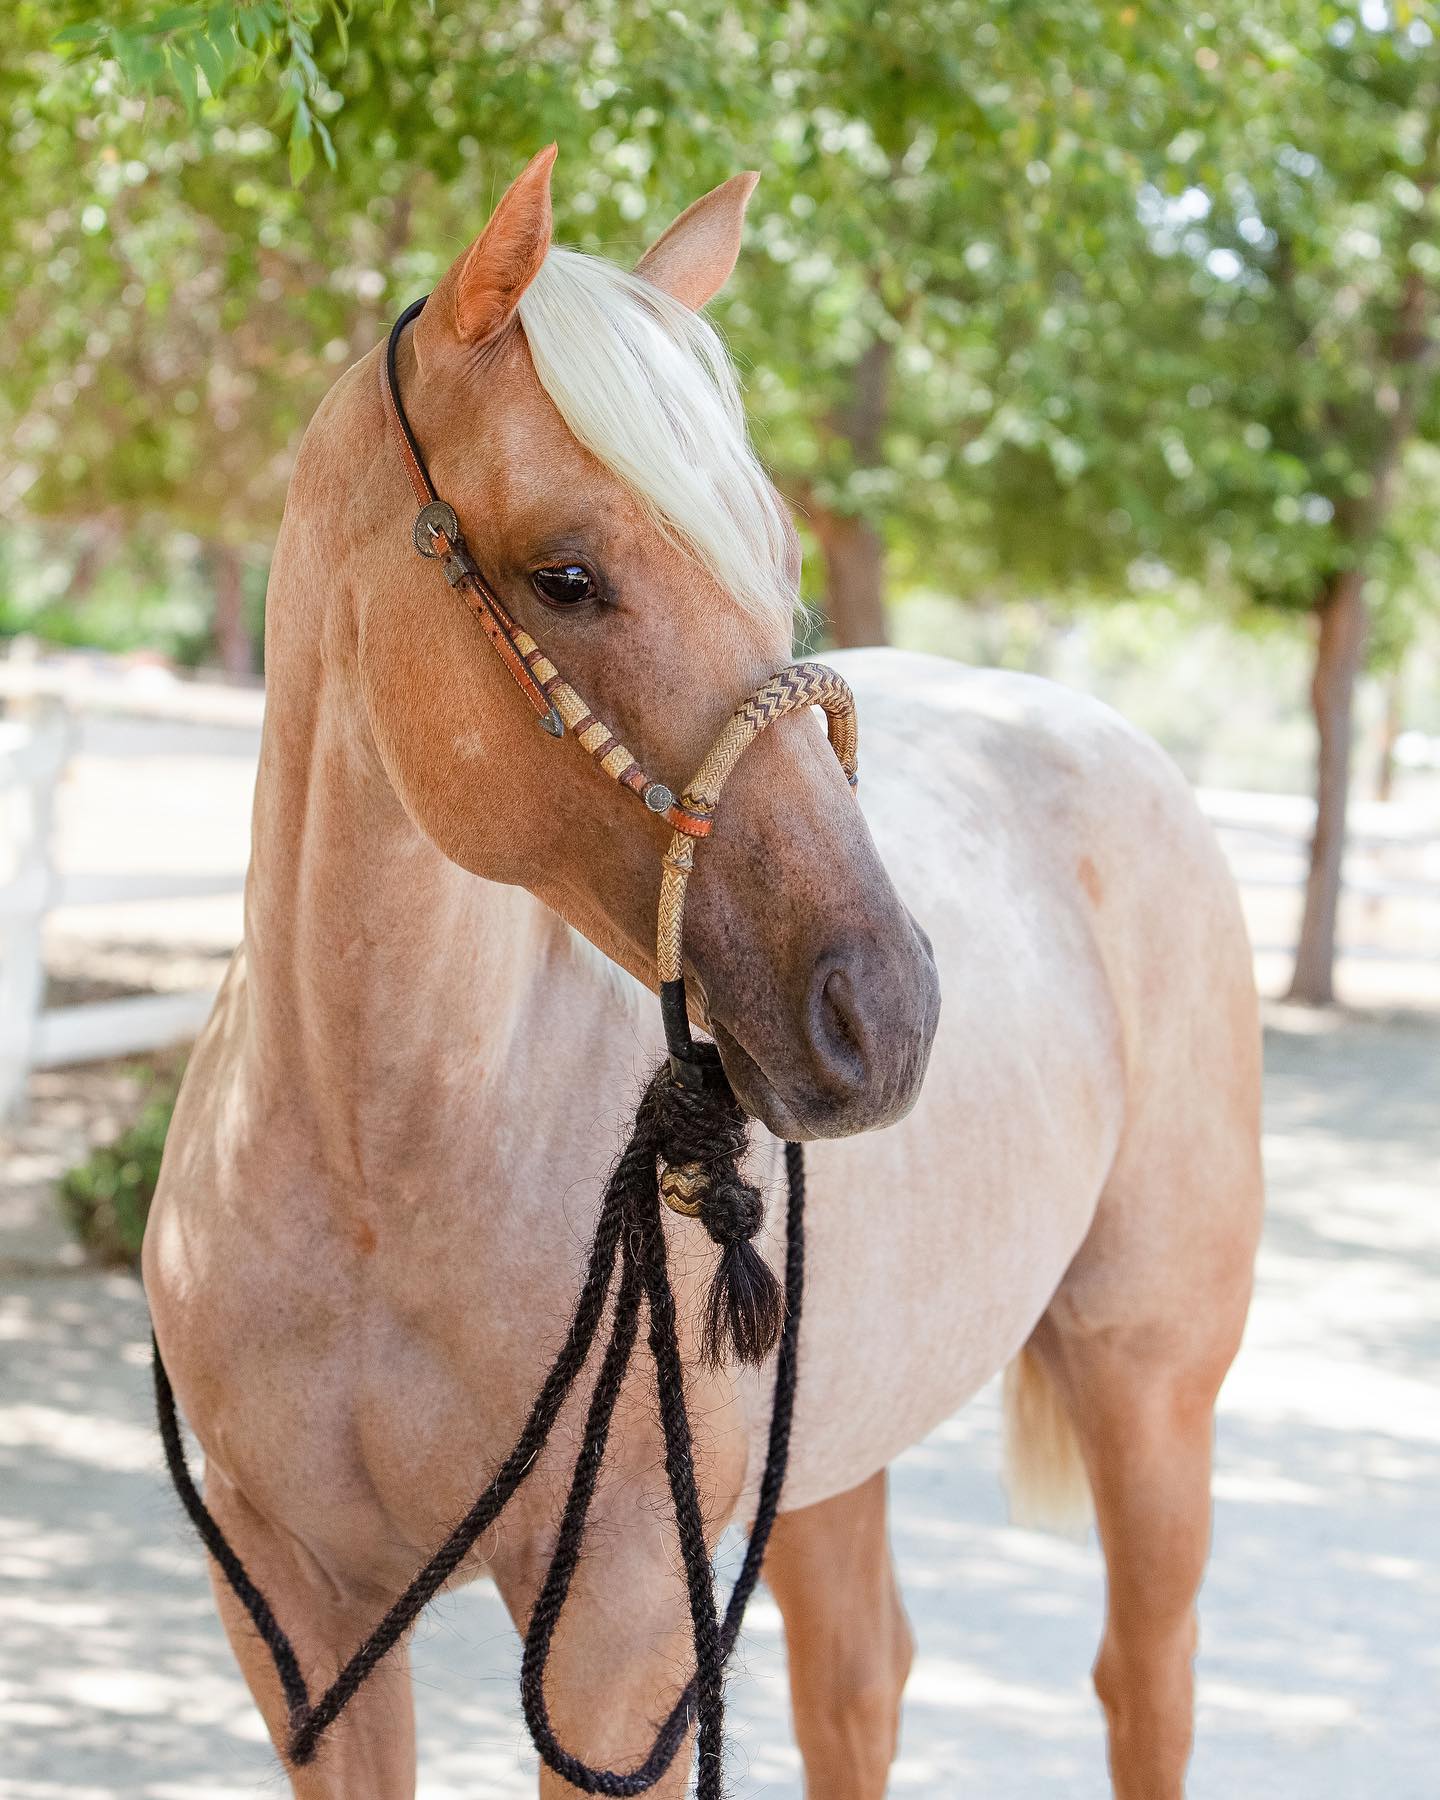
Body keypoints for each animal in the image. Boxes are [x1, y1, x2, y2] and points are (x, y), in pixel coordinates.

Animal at [143, 146, 1264, 1800]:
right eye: (565, 574)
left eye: (778, 567)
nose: (886, 1013)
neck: (373, 1159)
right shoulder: (300, 1614)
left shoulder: (617, 1639)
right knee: (860, 1686)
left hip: (1154, 1383)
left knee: (1146, 1682)